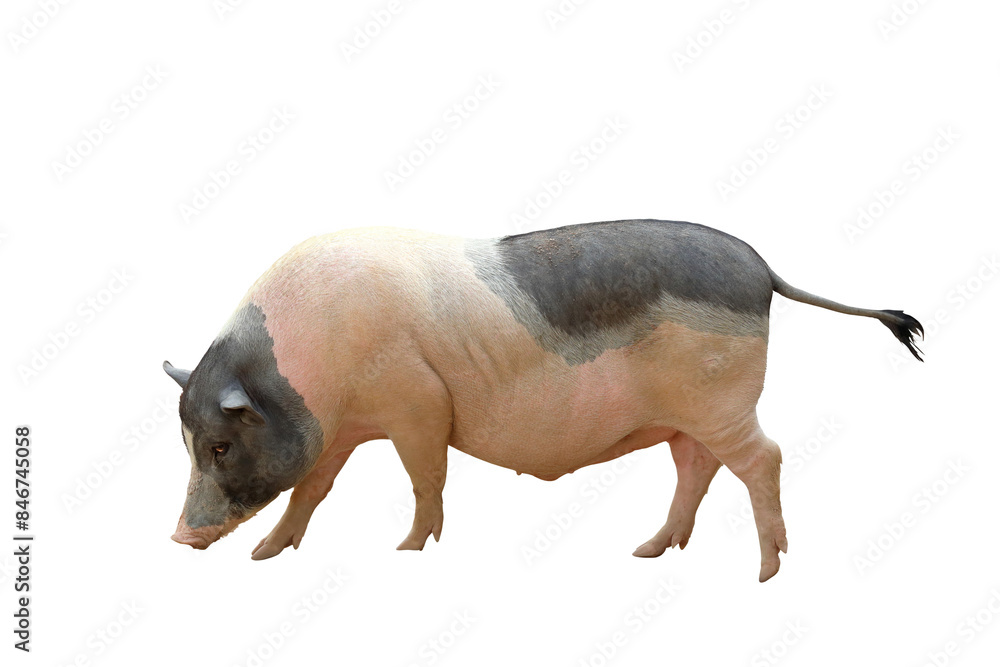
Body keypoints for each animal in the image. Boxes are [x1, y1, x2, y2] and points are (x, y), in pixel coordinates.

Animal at [164, 219, 923, 581]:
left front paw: (407, 548)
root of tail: (762, 267)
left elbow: (426, 475)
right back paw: (648, 551)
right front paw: (265, 555)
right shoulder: (339, 430)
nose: (178, 536)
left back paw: (765, 572)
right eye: (187, 444)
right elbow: (311, 489)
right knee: (696, 467)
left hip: (723, 401)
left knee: (765, 457)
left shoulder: (418, 403)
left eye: (221, 444)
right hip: (686, 416)